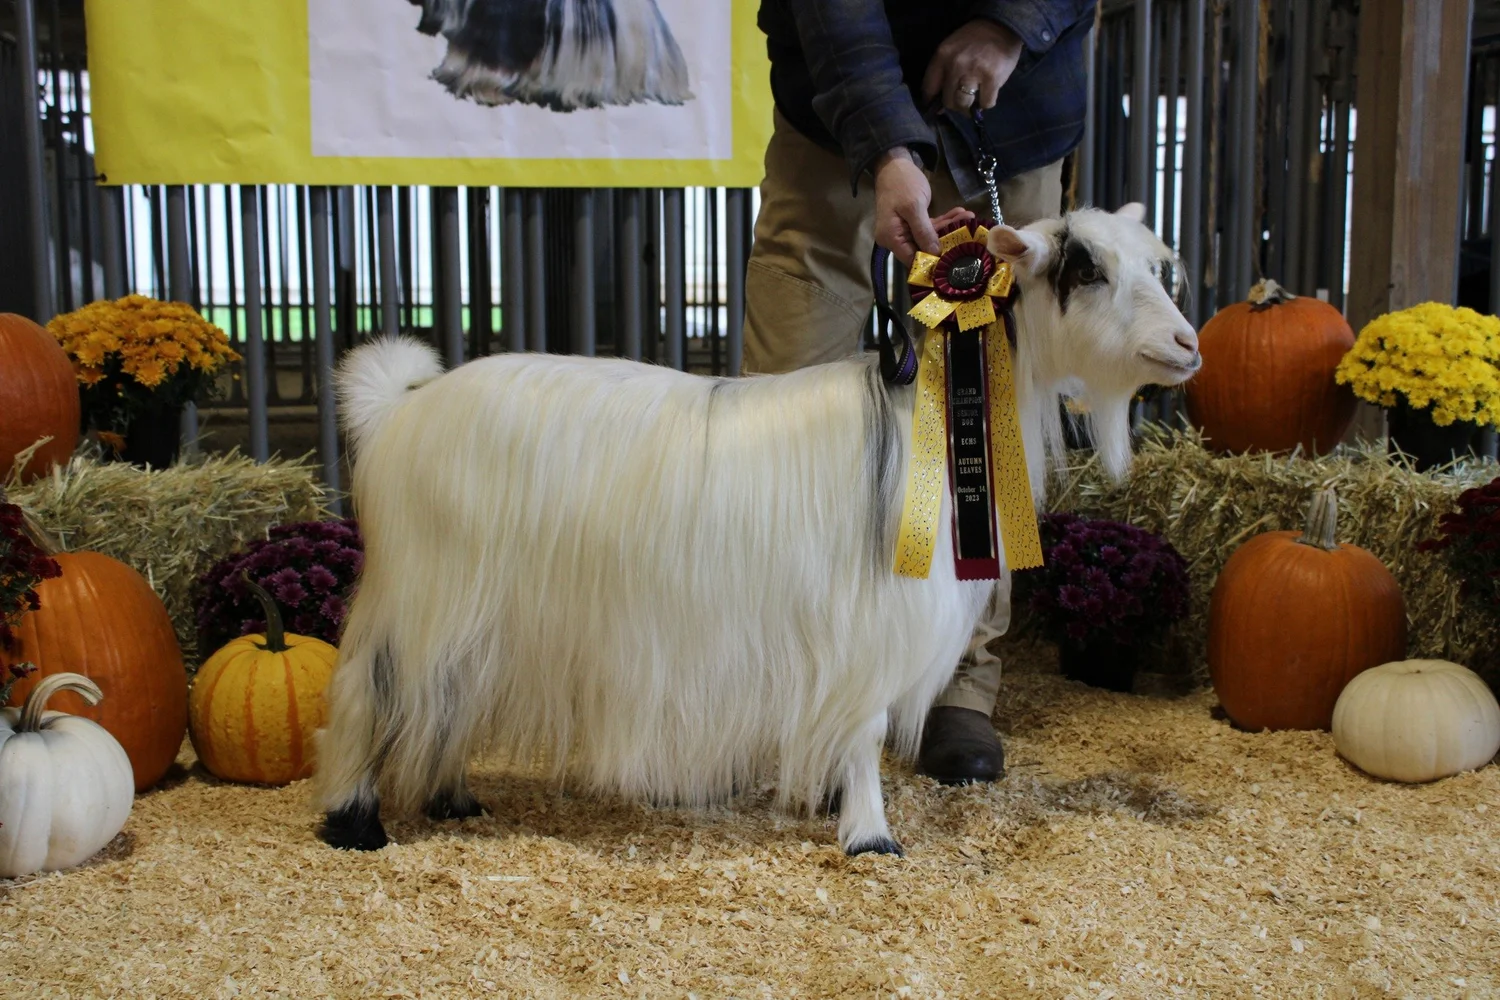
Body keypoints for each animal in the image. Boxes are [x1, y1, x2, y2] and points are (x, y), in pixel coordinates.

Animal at [314, 204, 1201, 856]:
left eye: (1155, 267)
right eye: (1085, 270)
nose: (1187, 345)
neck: (937, 417)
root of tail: (399, 409)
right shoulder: (867, 626)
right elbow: (866, 730)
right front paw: (870, 834)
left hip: (477, 609)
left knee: (449, 695)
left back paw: (454, 798)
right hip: (420, 590)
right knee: (366, 693)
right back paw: (355, 822)